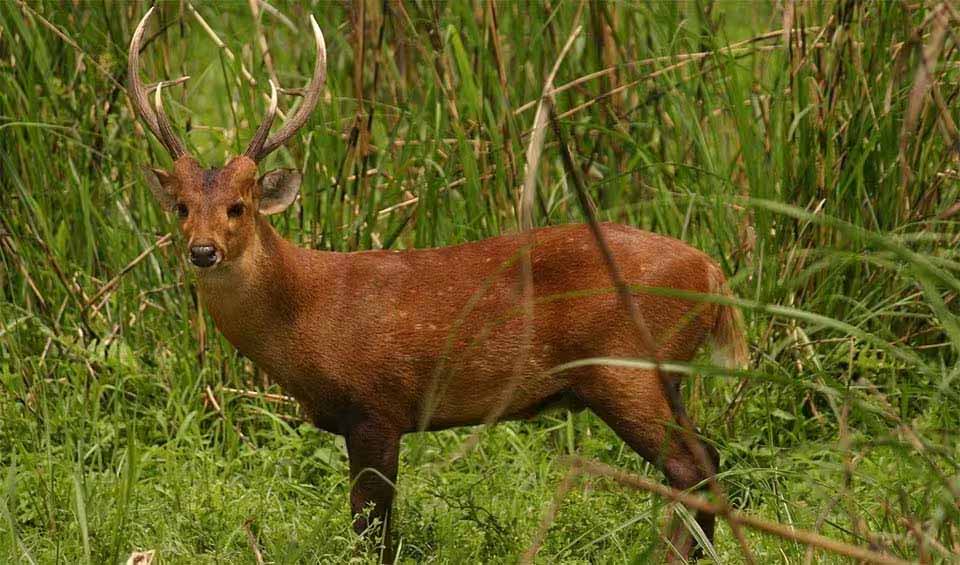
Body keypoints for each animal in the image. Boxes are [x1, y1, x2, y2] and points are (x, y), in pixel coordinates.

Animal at [129, 8, 747, 563]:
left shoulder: (377, 405)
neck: (309, 313)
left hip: (629, 368)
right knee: (703, 463)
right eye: (182, 208)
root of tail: (712, 270)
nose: (203, 251)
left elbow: (370, 530)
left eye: (240, 205)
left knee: (694, 465)